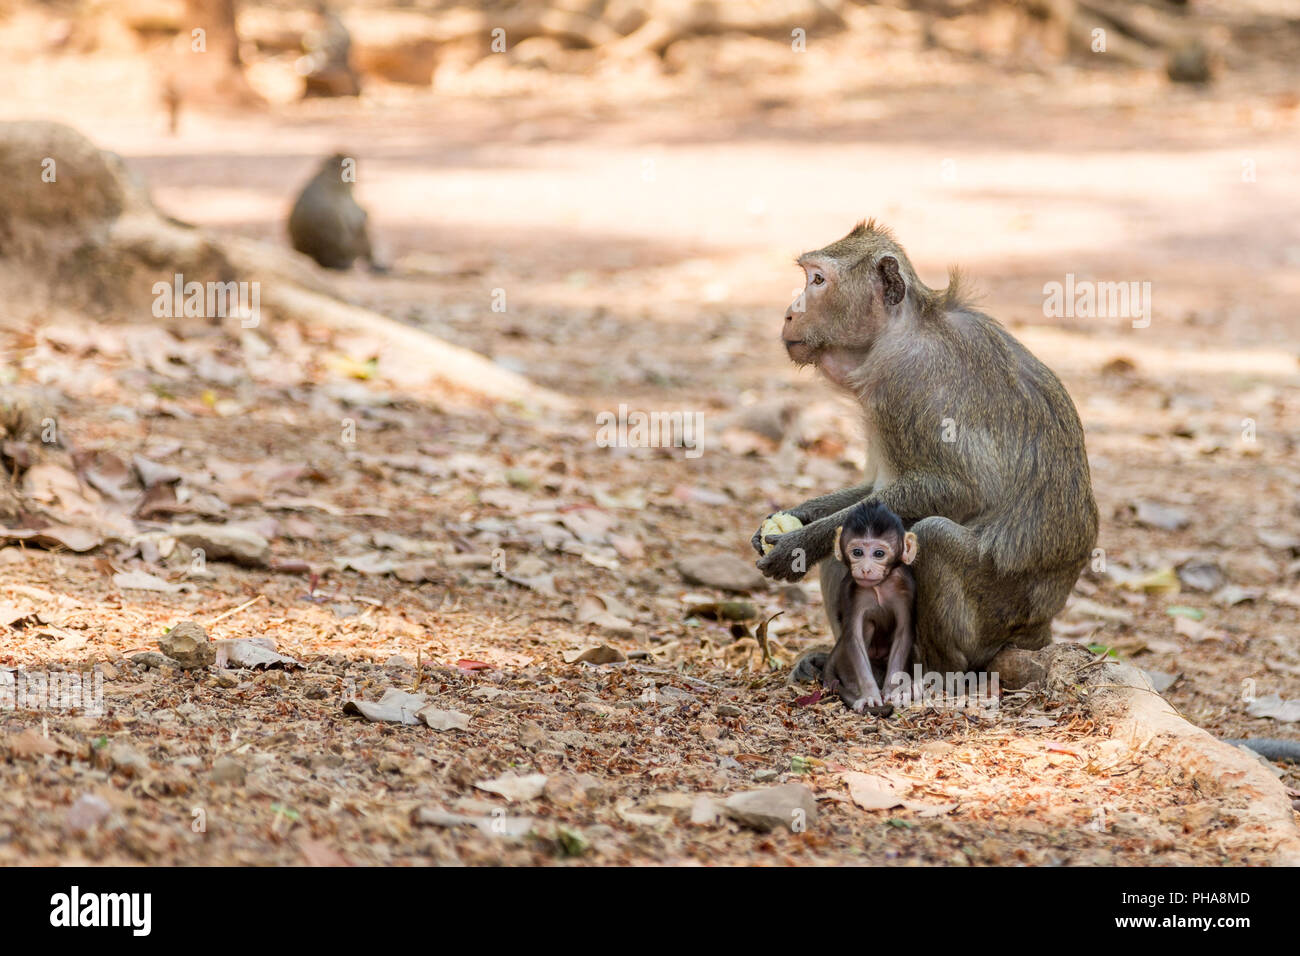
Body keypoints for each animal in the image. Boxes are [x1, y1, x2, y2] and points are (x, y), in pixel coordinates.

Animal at [752, 220, 1099, 679]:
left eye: (818, 280)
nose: (790, 311)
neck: (903, 329)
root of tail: (1038, 629)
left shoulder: (906, 384)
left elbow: (961, 490)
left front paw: (801, 543)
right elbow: (874, 492)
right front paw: (801, 517)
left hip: (993, 618)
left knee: (934, 536)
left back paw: (936, 670)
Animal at [820, 501, 918, 713]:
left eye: (878, 554)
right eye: (857, 552)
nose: (865, 569)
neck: (879, 586)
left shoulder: (906, 588)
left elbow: (903, 633)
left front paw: (891, 690)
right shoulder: (850, 591)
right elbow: (854, 636)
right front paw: (869, 694)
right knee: (867, 626)